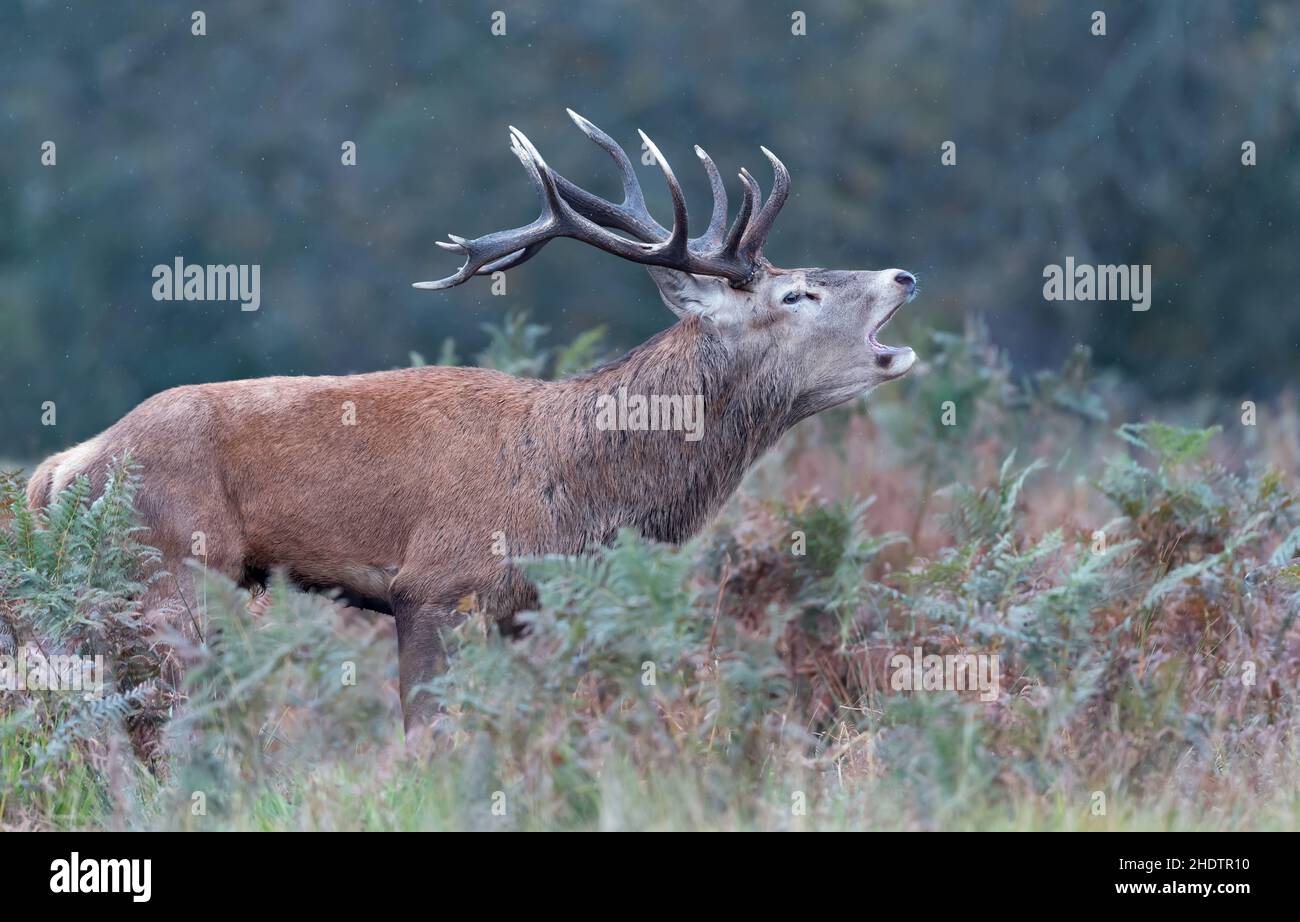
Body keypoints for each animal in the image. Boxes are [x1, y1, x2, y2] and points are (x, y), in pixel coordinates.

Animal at [25, 111, 919, 734]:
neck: (577, 498)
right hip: (172, 569)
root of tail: (61, 469)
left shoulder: (523, 608)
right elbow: (428, 732)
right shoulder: (435, 582)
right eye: (795, 292)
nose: (903, 274)